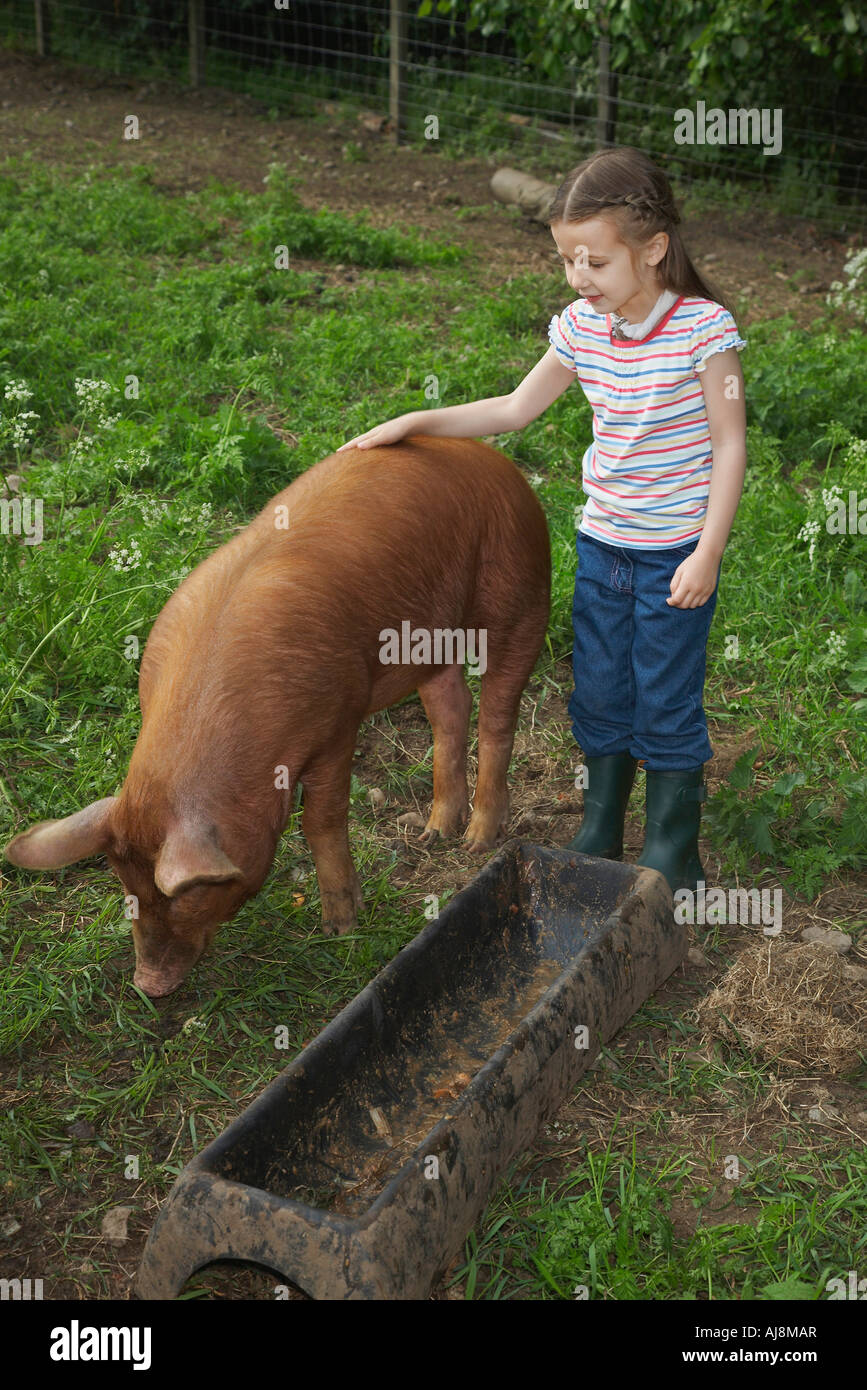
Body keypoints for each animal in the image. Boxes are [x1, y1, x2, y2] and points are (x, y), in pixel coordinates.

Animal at [3, 435, 550, 998]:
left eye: (187, 894)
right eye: (126, 887)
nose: (148, 985)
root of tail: (490, 457)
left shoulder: (337, 723)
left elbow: (321, 822)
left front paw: (341, 927)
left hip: (521, 593)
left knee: (497, 715)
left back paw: (476, 841)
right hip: (430, 638)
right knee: (451, 706)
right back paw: (435, 833)